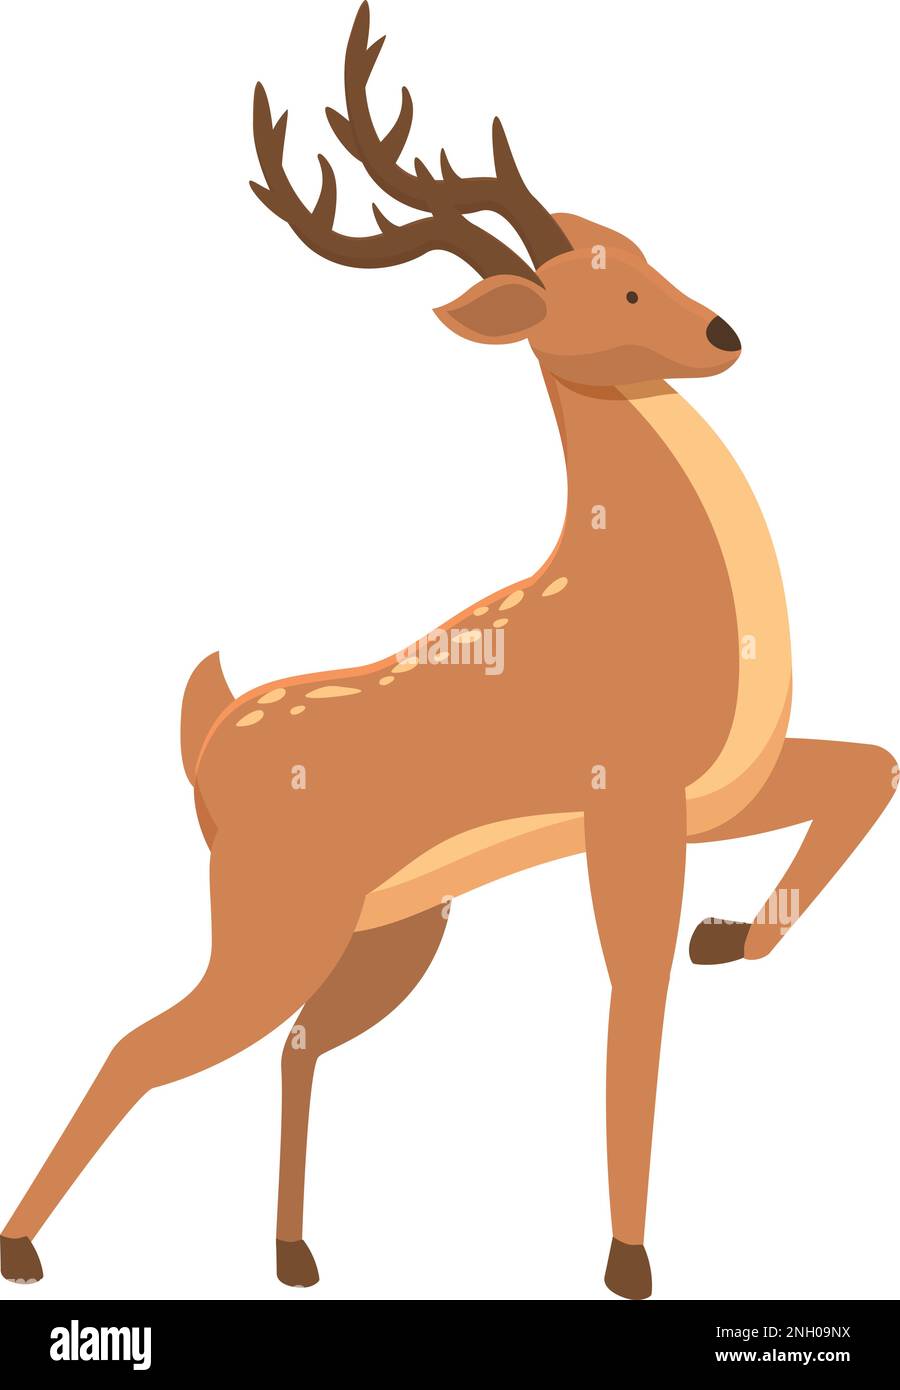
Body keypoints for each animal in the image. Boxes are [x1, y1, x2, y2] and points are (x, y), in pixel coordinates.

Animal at [2, 3, 895, 1300]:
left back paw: (295, 1252)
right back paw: (26, 1245)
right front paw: (630, 1258)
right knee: (144, 1038)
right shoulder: (631, 800)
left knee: (296, 1039)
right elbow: (634, 1004)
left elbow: (873, 769)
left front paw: (727, 938)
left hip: (393, 928)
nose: (724, 331)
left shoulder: (723, 790)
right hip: (270, 919)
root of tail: (205, 745)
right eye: (616, 290)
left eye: (639, 251)